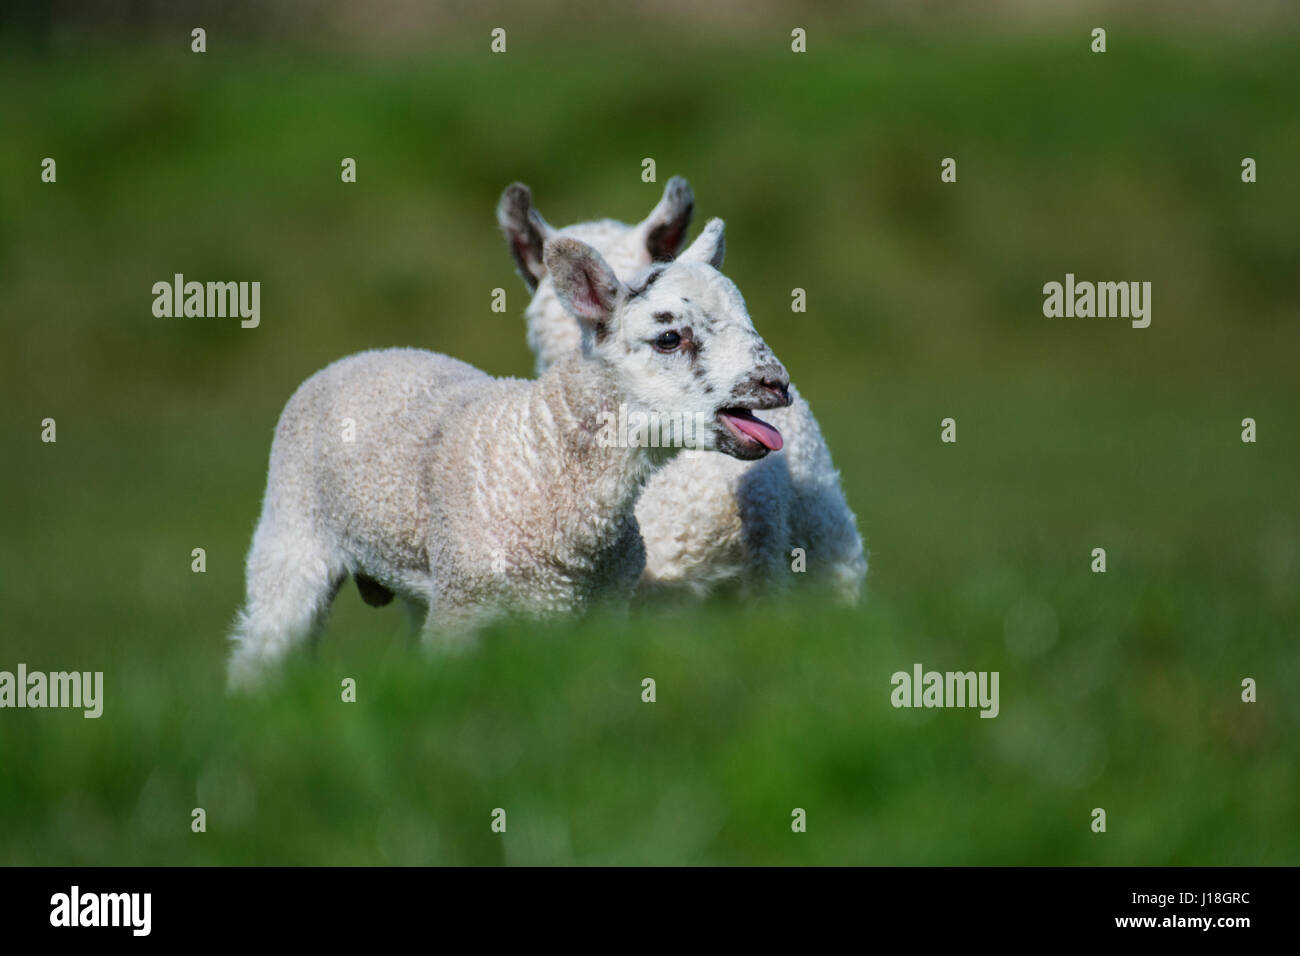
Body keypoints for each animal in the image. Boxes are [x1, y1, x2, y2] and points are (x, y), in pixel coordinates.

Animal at [227, 221, 792, 688]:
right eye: (670, 337)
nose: (778, 384)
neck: (544, 458)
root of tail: (363, 355)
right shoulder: (463, 610)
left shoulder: (602, 610)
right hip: (292, 530)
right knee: (264, 647)